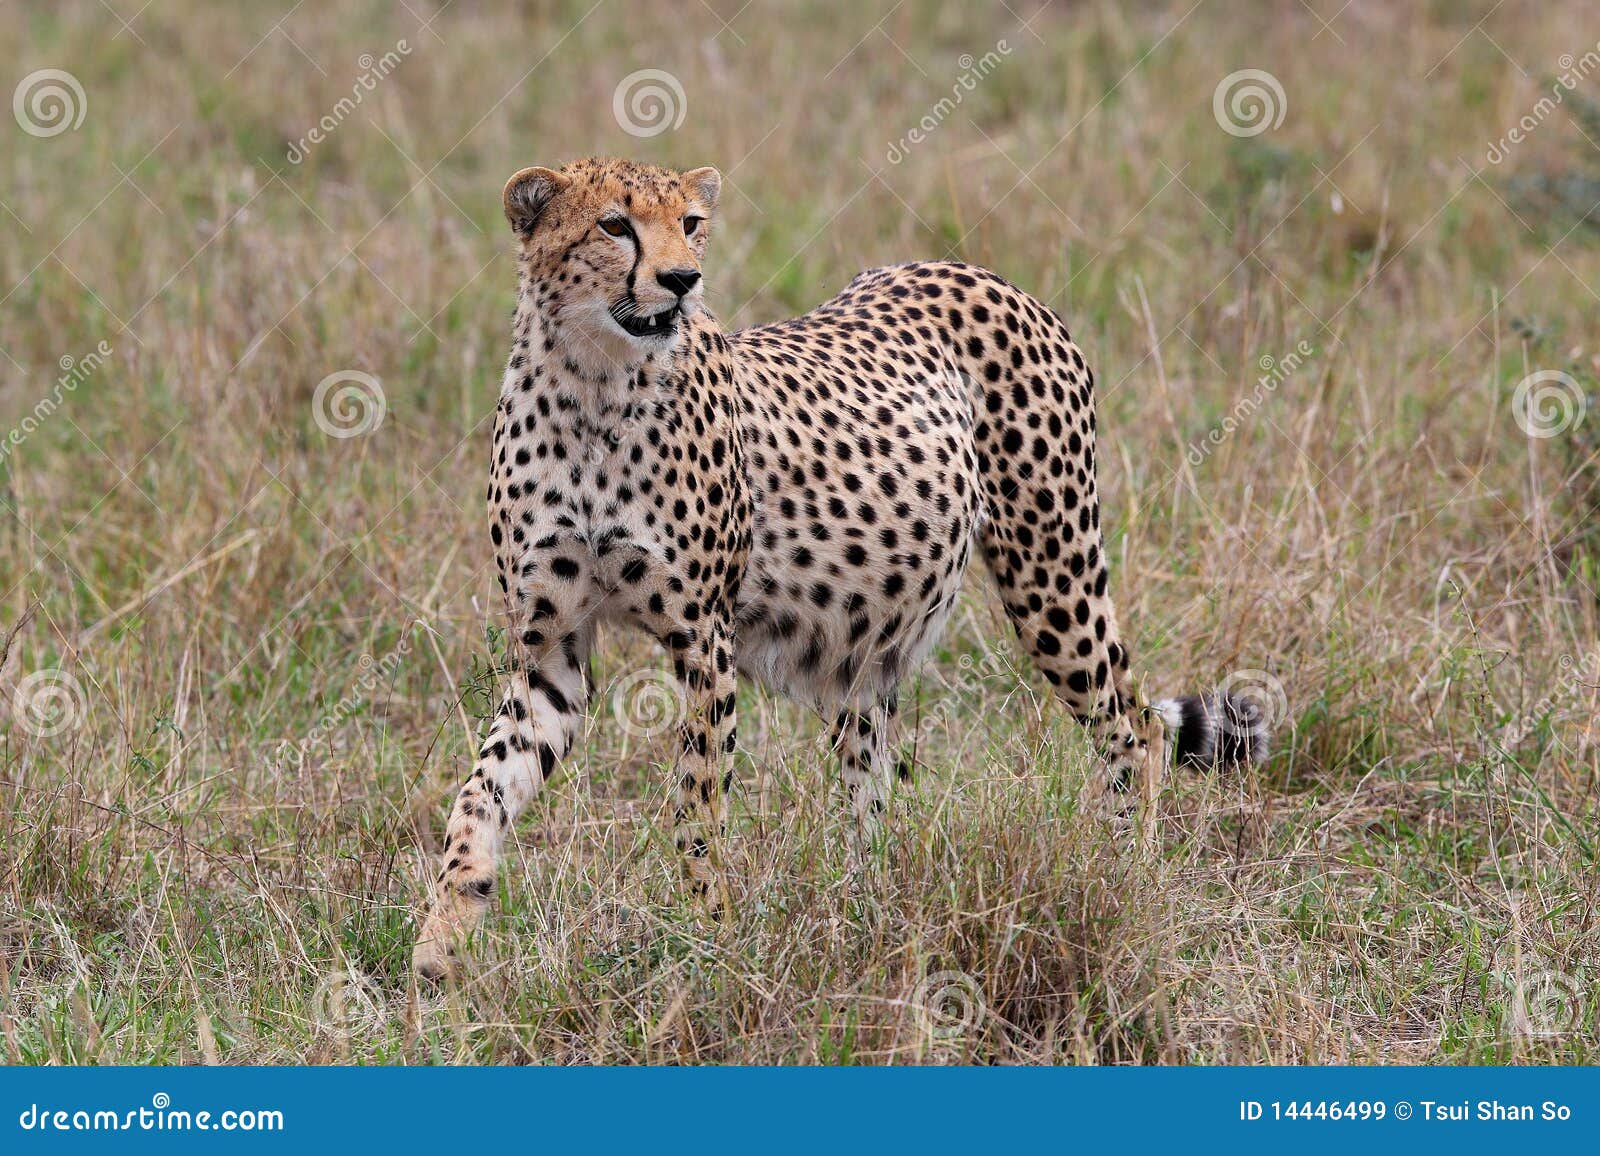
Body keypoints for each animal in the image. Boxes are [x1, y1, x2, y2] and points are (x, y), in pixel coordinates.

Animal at [412, 156, 1269, 980]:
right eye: (614, 225)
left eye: (690, 223)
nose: (683, 279)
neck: (591, 382)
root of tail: (978, 272)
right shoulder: (550, 651)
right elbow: (479, 793)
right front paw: (443, 938)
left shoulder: (703, 640)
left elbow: (697, 812)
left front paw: (709, 945)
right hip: (867, 645)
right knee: (874, 784)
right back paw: (865, 918)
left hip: (1051, 572)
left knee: (1133, 725)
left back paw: (1124, 874)